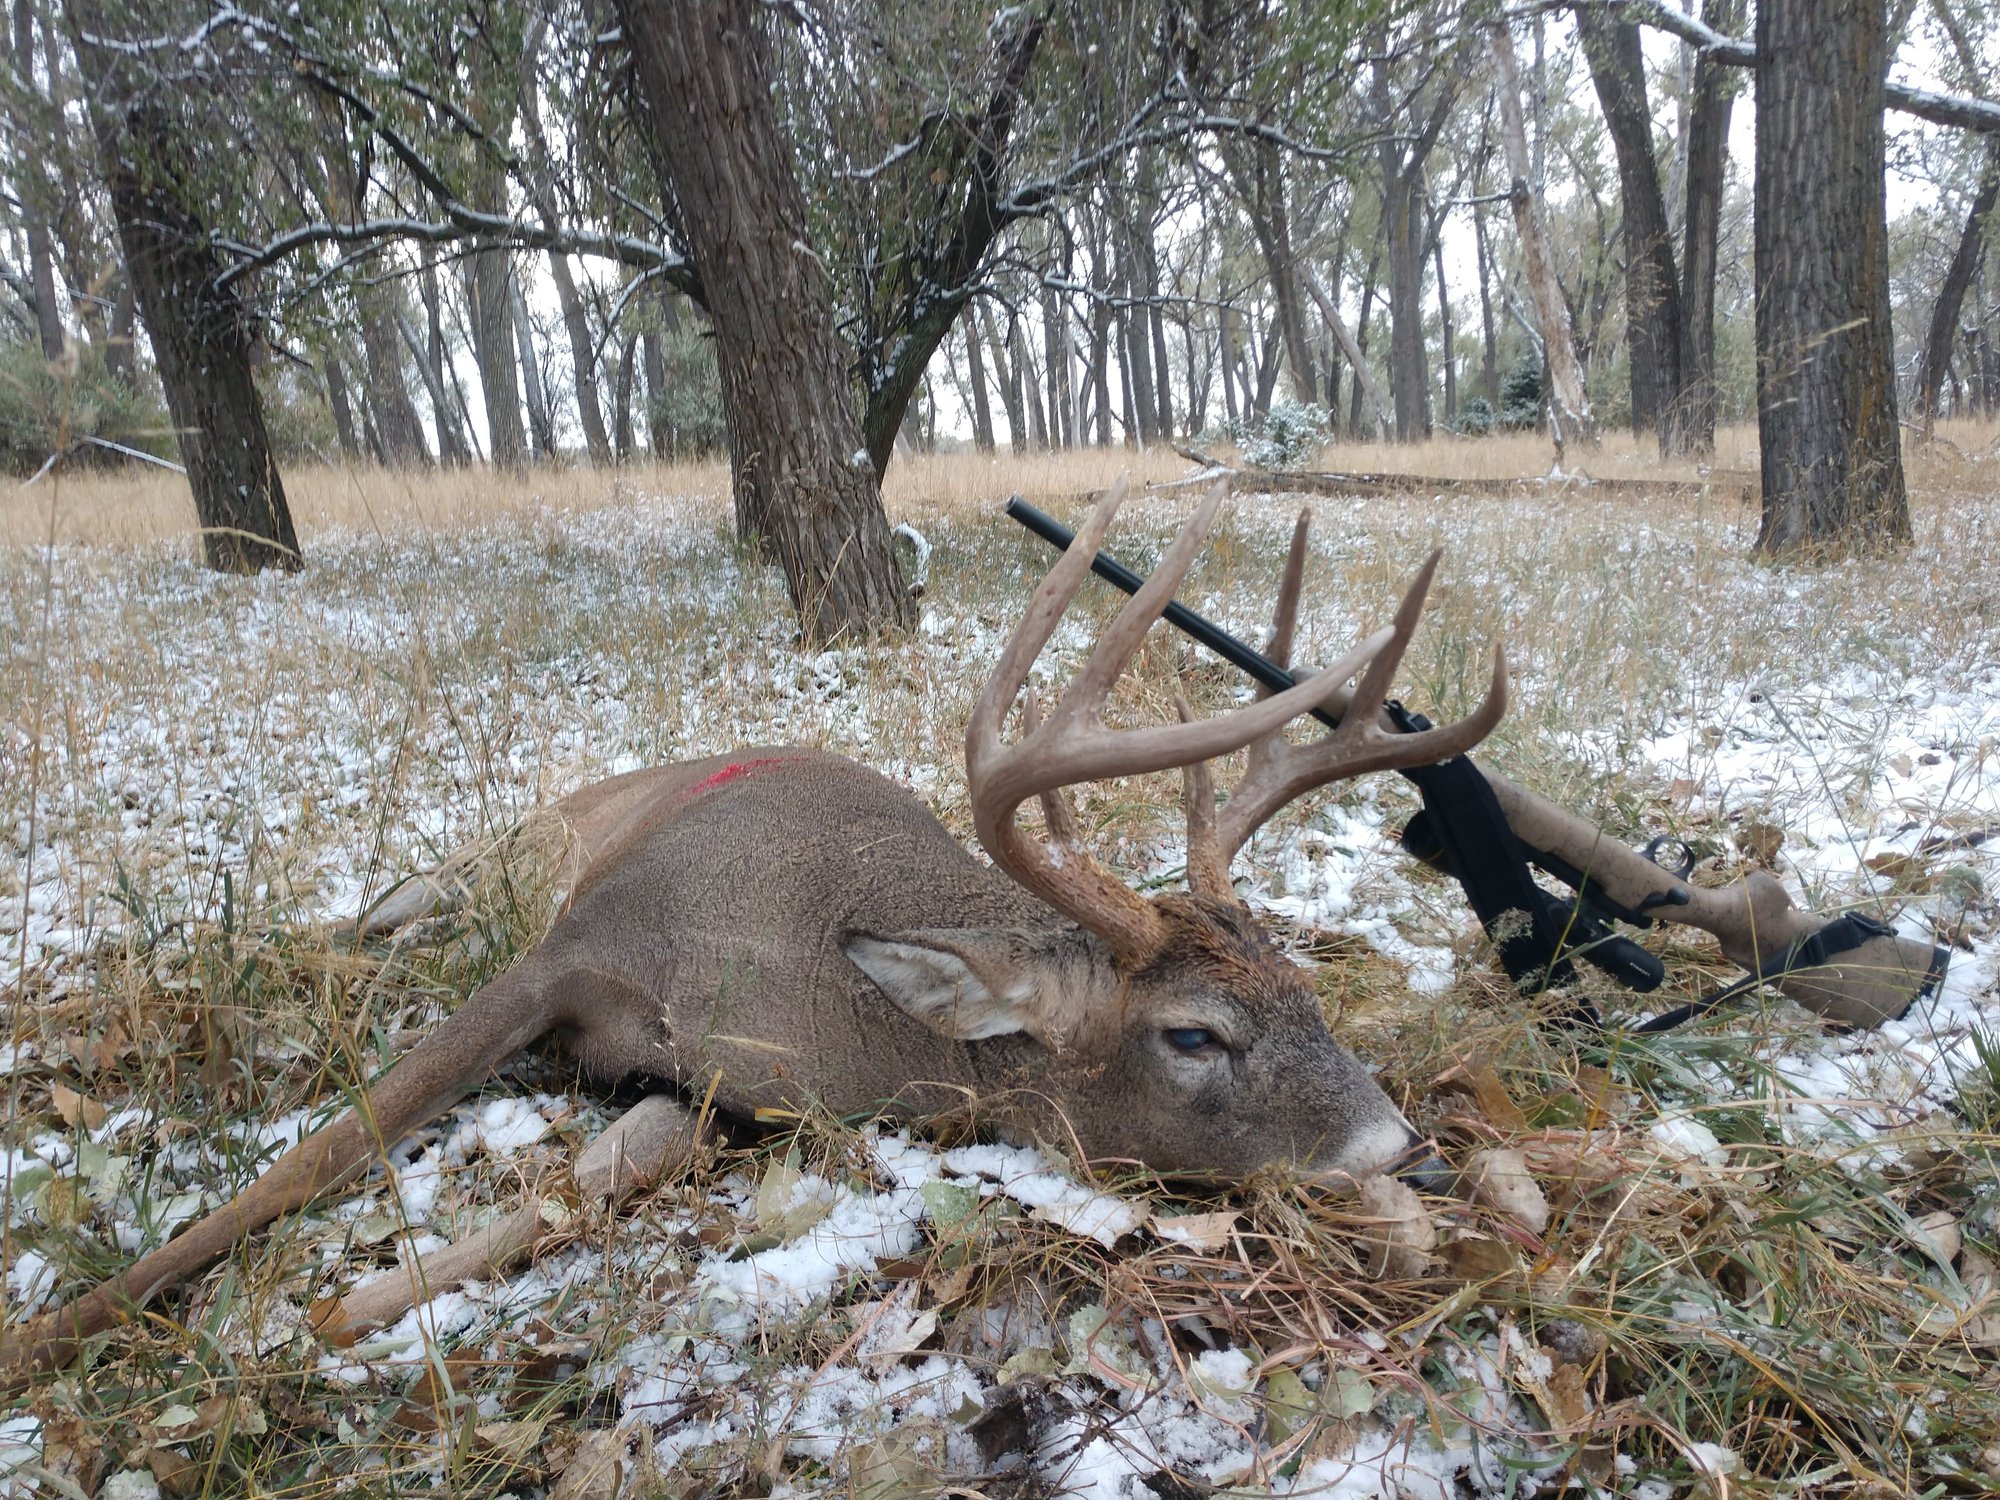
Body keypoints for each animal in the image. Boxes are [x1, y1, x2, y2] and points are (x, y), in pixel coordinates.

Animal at [0, 481, 1504, 1387]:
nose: (1408, 1154)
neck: (807, 976)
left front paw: (350, 1311)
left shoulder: (725, 1091)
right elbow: (319, 1151)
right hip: (498, 862)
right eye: (1196, 1035)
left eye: (1307, 992)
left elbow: (599, 1175)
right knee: (372, 920)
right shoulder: (568, 948)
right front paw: (62, 1332)